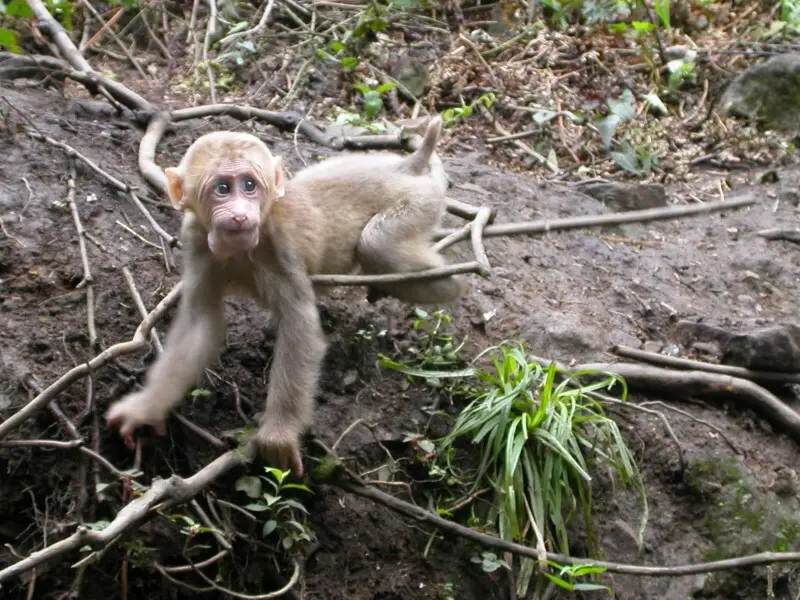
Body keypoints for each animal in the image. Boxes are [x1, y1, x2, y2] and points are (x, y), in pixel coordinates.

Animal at [105, 116, 463, 477]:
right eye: (222, 189)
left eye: (249, 185)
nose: (240, 214)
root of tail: (405, 166)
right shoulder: (195, 238)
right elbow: (200, 322)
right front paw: (145, 407)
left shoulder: (280, 244)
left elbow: (298, 323)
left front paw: (279, 433)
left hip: (420, 201)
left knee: (377, 243)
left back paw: (456, 282)